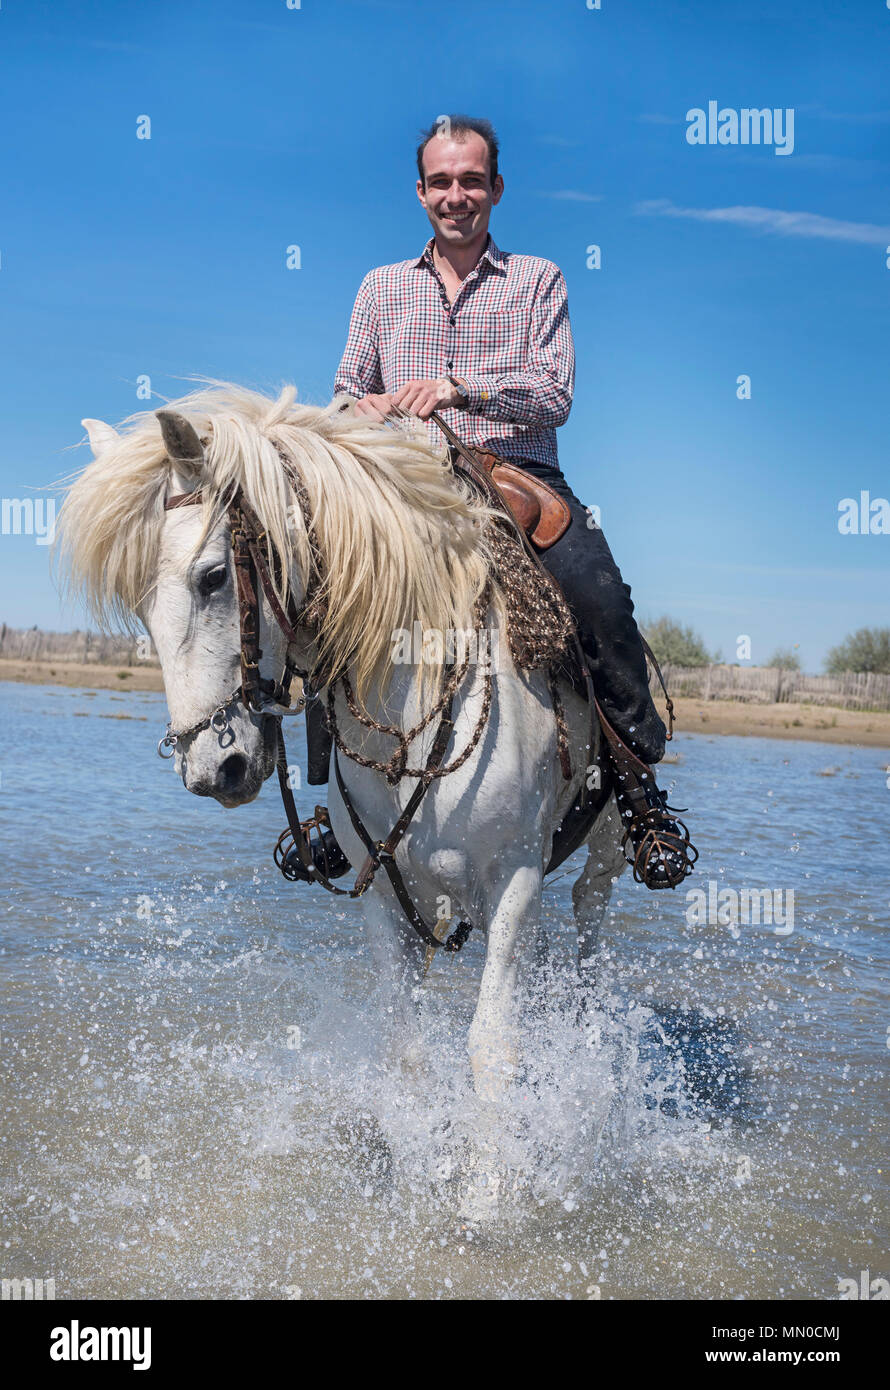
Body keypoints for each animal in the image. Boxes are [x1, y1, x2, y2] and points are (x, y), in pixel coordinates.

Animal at [57, 383, 626, 1211]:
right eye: (138, 605)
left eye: (213, 576)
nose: (214, 769)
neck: (414, 694)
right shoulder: (388, 894)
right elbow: (405, 1043)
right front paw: (424, 1171)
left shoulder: (516, 878)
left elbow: (492, 1042)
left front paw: (489, 1195)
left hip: (607, 844)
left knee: (588, 920)